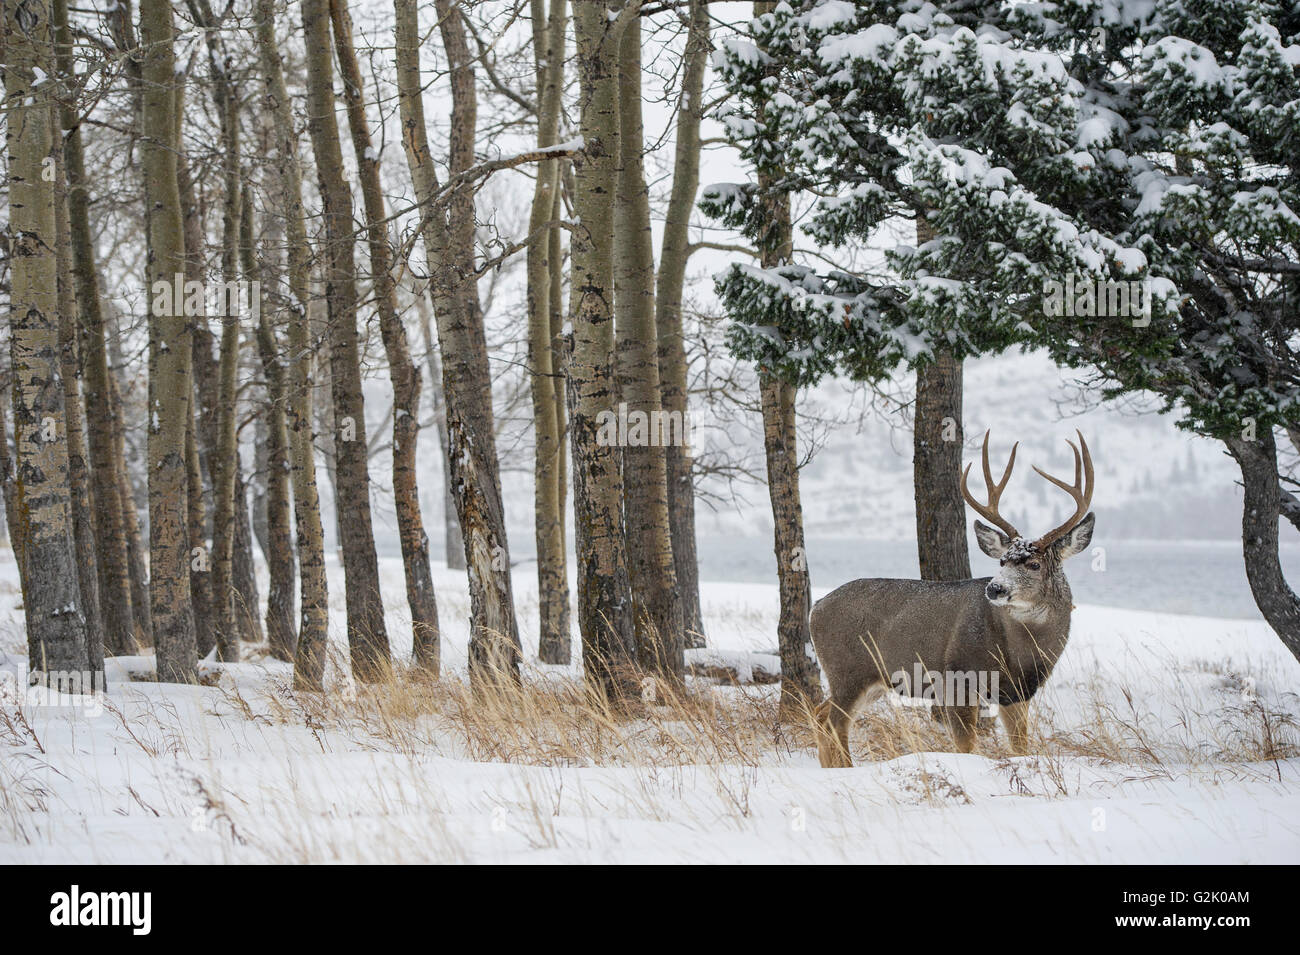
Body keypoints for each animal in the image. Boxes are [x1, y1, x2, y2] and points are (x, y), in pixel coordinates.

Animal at [810, 431, 1095, 767]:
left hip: (872, 680)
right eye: (1002, 561)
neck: (1021, 652)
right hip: (848, 669)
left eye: (1034, 564)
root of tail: (815, 609)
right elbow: (966, 746)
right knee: (835, 722)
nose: (995, 588)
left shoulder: (1016, 693)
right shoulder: (957, 677)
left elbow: (1020, 746)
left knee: (820, 714)